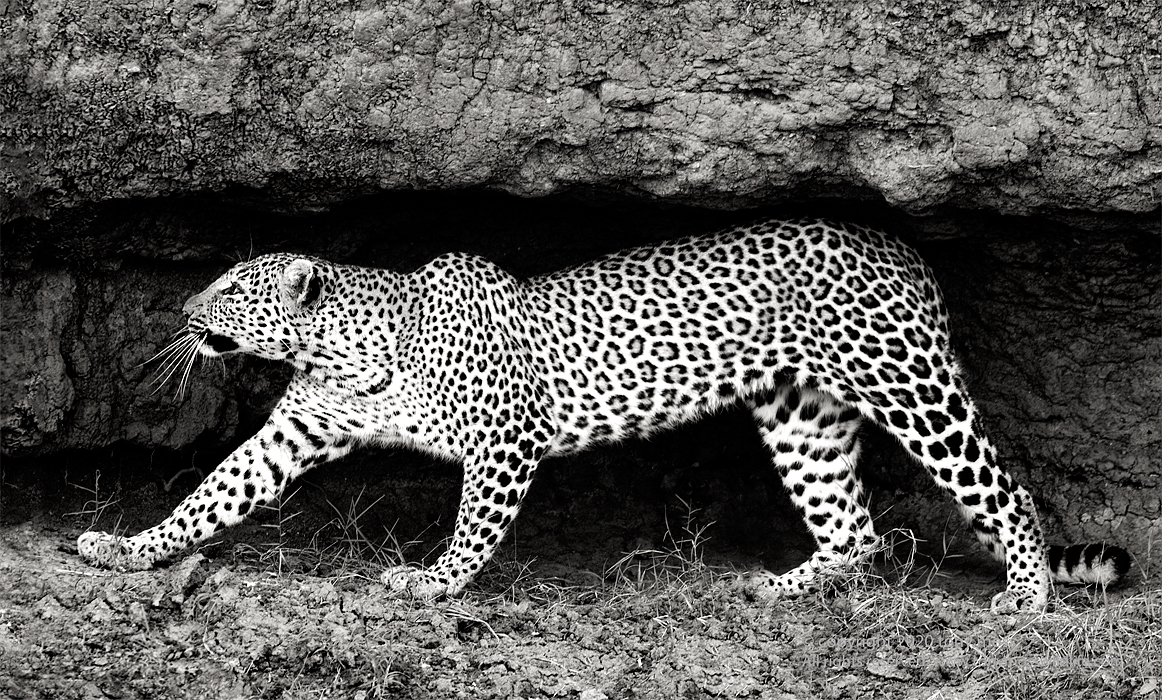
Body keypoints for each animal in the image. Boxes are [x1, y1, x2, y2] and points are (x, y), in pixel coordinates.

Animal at [78, 218, 1131, 612]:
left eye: (231, 288)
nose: (182, 312)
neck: (346, 351)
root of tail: (905, 246)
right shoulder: (300, 428)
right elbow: (216, 490)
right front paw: (125, 547)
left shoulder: (504, 438)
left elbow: (473, 526)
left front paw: (432, 582)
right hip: (803, 415)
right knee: (857, 528)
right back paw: (784, 586)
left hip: (909, 386)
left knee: (1003, 488)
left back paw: (1026, 596)